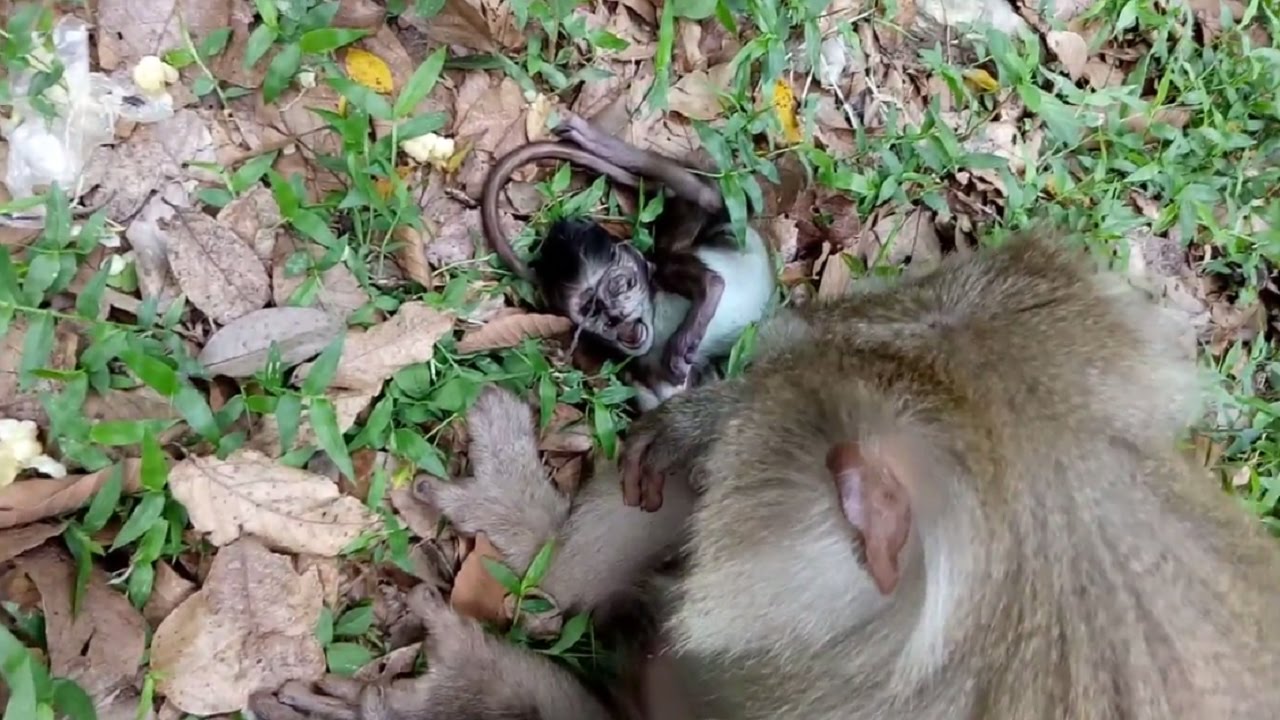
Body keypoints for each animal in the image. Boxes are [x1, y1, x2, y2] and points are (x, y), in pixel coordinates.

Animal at [481, 112, 777, 410]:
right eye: (591, 311)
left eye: (620, 286)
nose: (614, 318)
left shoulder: (661, 269)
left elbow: (708, 278)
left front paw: (687, 333)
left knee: (707, 199)